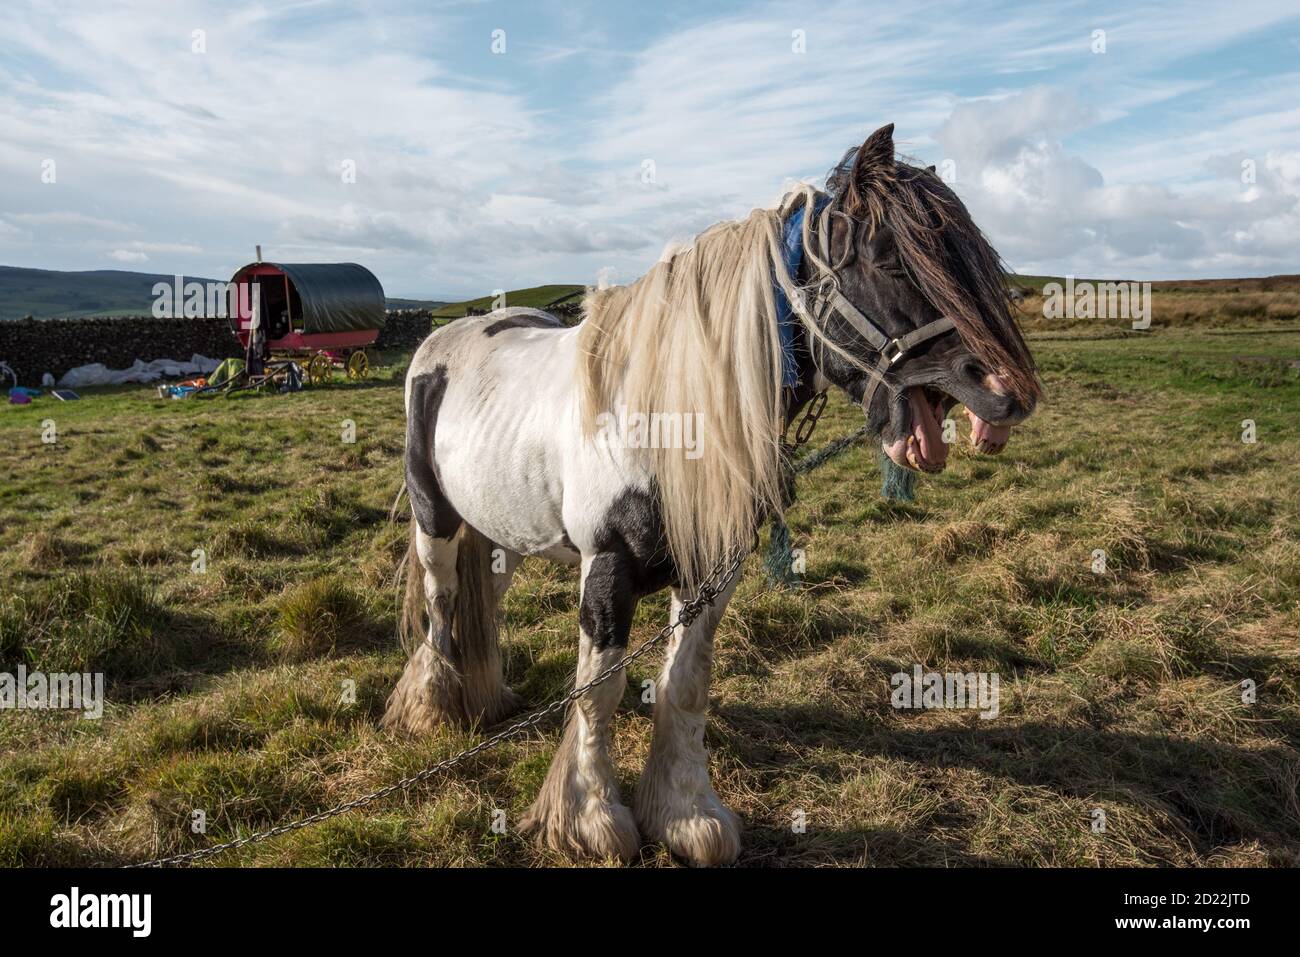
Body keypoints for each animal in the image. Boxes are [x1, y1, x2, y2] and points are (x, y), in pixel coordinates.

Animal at [382, 123, 1041, 866]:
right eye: (891, 260)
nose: (1009, 394)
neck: (668, 410)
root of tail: (446, 335)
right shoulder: (606, 568)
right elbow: (600, 688)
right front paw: (590, 818)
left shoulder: (711, 568)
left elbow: (686, 682)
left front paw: (685, 815)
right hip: (435, 519)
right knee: (442, 599)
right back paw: (435, 709)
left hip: (504, 530)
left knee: (483, 597)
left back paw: (486, 696)